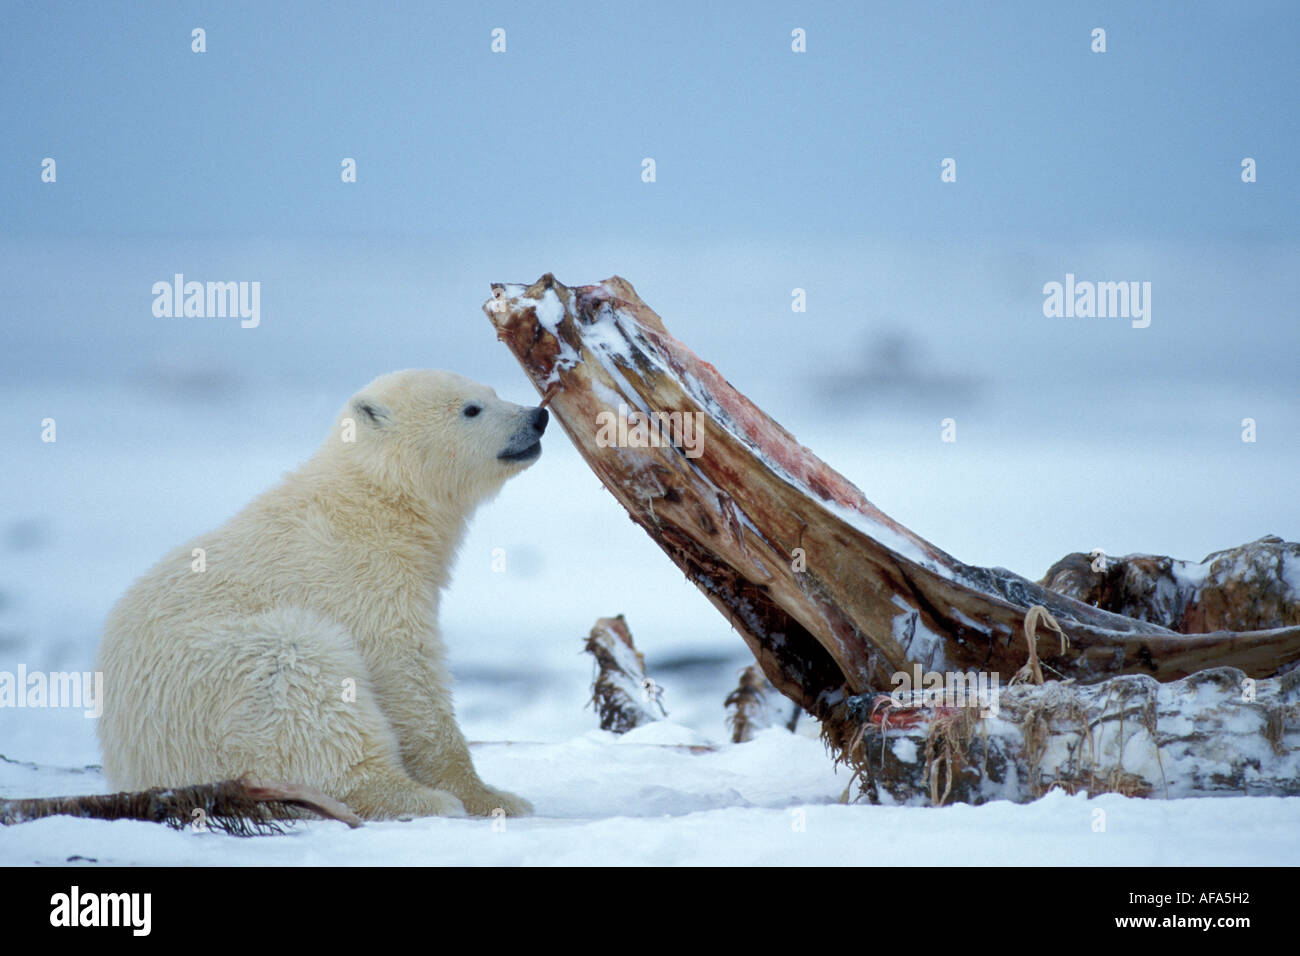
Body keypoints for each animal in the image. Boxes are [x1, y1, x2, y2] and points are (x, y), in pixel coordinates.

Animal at [96, 369, 548, 820]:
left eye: (492, 392)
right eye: (471, 409)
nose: (538, 416)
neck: (371, 504)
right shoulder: (363, 579)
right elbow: (405, 674)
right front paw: (490, 797)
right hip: (224, 679)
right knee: (303, 681)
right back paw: (417, 798)